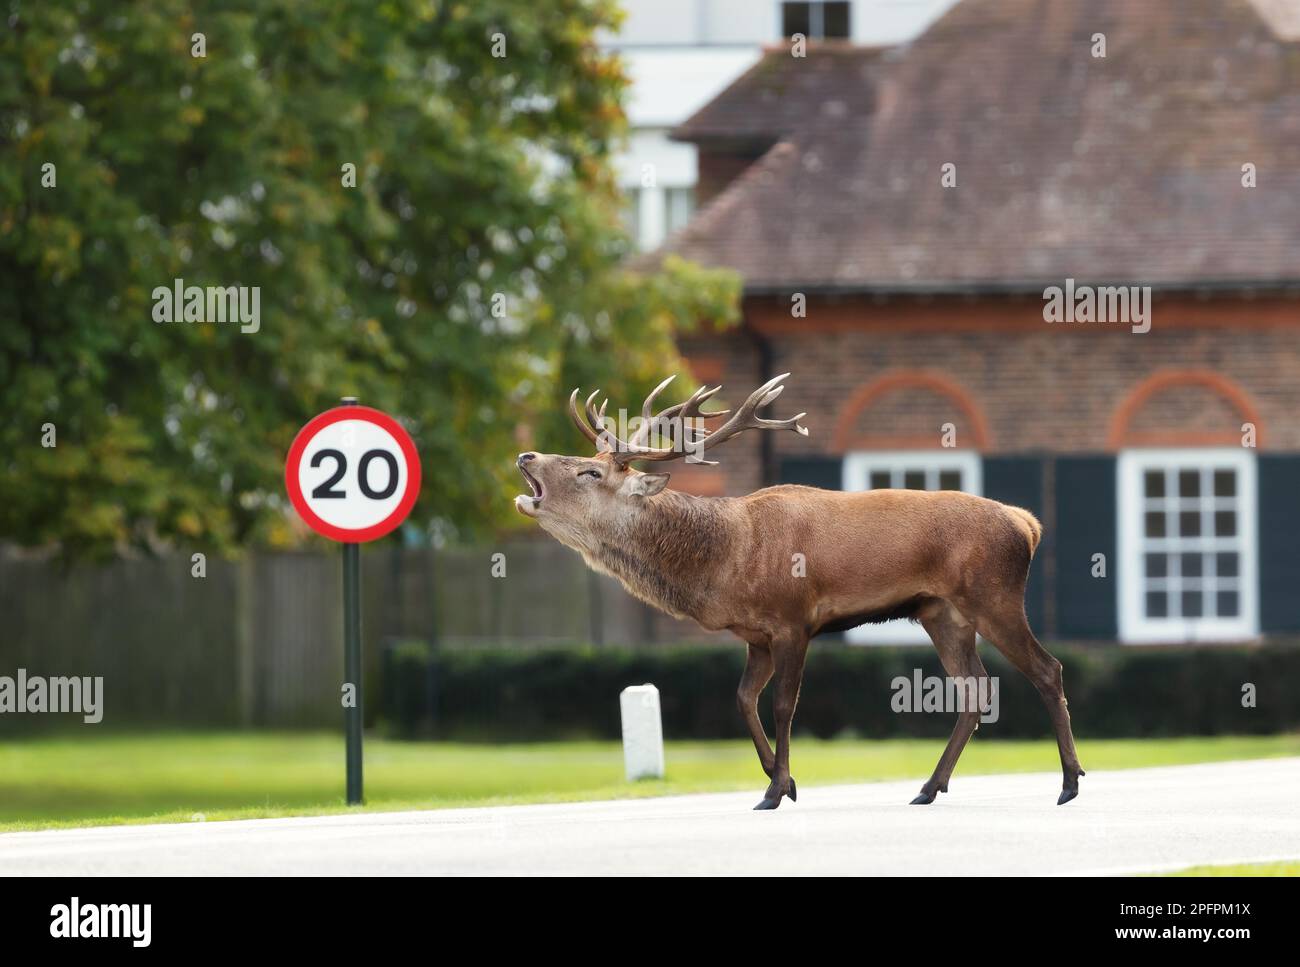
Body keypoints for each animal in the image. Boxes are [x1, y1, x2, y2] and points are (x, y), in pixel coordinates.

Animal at [514, 373, 1083, 810]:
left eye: (590, 471)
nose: (526, 455)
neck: (725, 560)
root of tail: (1027, 524)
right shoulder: (756, 635)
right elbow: (743, 699)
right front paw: (783, 781)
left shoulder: (793, 620)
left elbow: (784, 704)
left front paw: (773, 791)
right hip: (941, 613)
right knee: (975, 688)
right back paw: (929, 786)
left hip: (995, 597)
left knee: (1046, 669)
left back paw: (1069, 783)